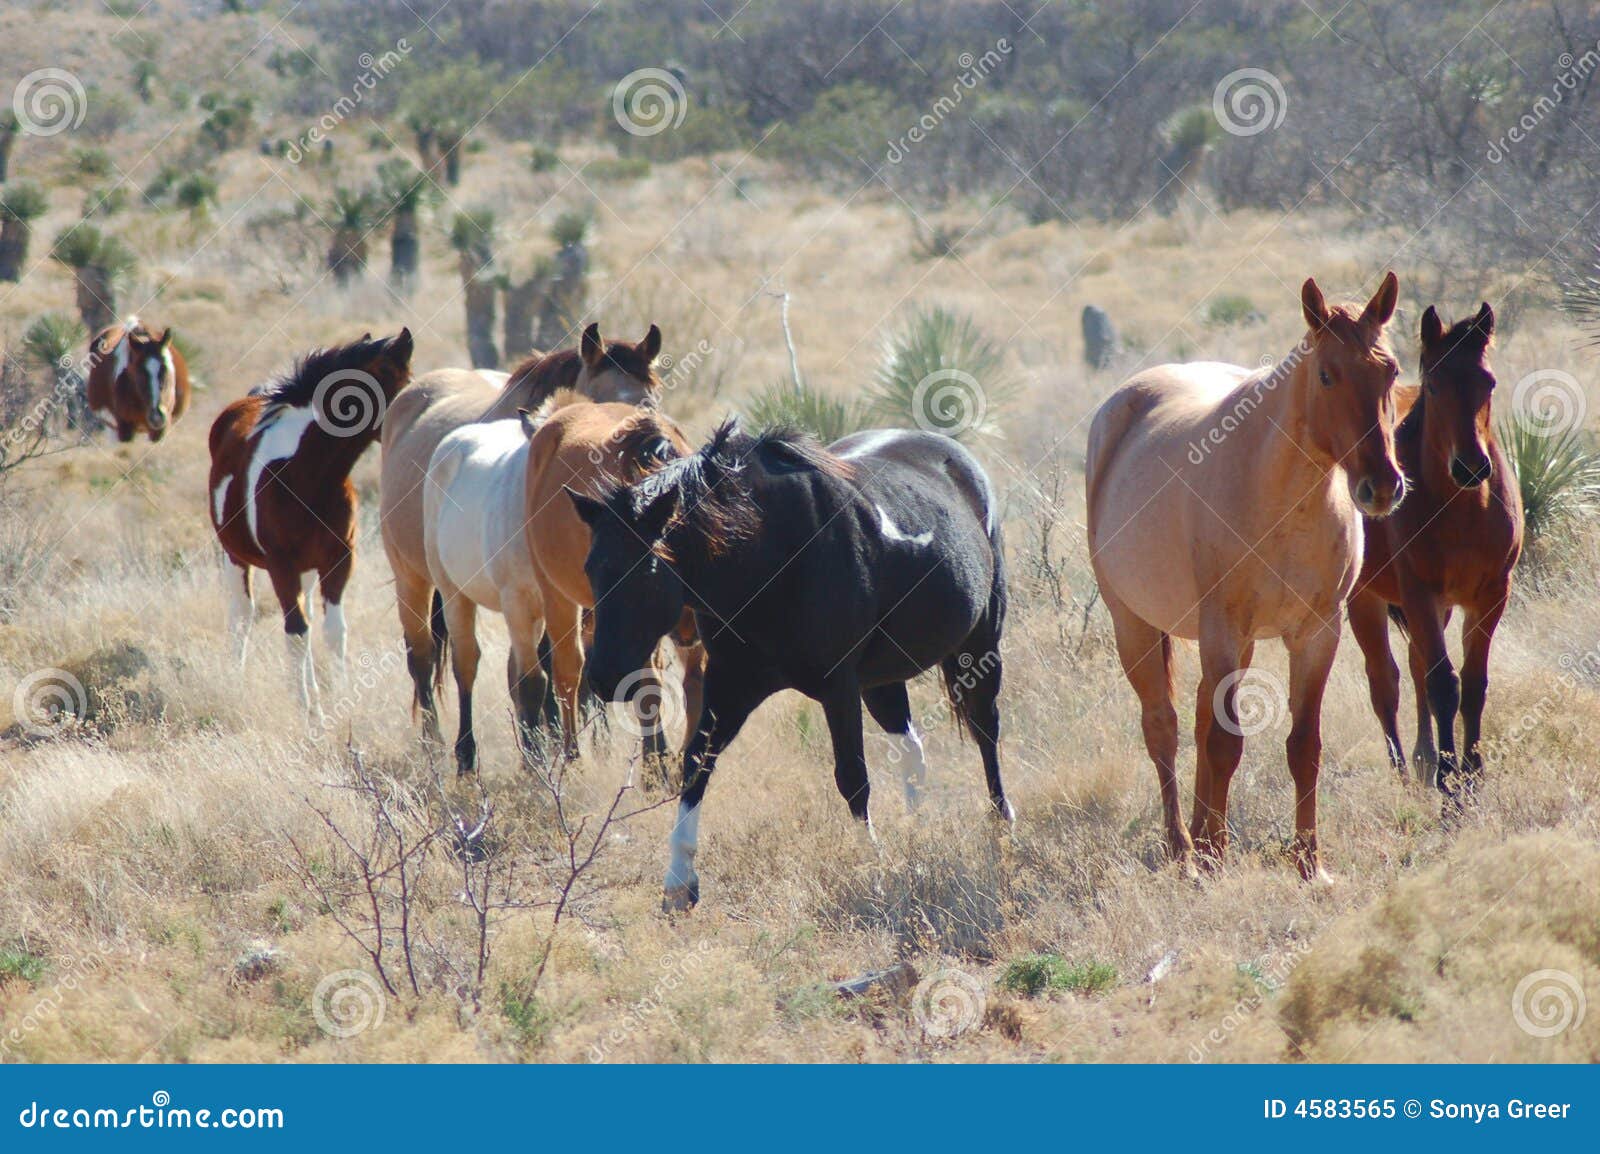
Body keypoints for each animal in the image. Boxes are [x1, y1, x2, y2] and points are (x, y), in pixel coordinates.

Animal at [208, 330, 414, 716]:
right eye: (389, 378)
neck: (308, 476)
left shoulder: (340, 558)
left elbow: (333, 630)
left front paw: (338, 696)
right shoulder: (281, 565)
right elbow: (296, 631)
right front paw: (308, 710)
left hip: (304, 568)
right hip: (236, 556)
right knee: (242, 615)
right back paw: (236, 679)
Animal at [570, 422, 1013, 912]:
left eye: (647, 570)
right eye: (591, 568)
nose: (604, 676)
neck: (769, 555)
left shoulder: (837, 687)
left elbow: (852, 777)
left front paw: (874, 868)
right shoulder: (731, 686)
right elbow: (696, 763)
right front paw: (679, 883)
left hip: (980, 647)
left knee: (985, 731)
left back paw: (1001, 827)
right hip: (881, 681)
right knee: (913, 750)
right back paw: (917, 833)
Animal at [1086, 272, 1404, 882]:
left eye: (1392, 370)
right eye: (1326, 373)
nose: (1382, 486)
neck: (1280, 497)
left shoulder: (1317, 633)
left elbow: (1303, 746)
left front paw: (1309, 864)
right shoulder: (1222, 630)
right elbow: (1224, 746)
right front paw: (1216, 859)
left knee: (1198, 720)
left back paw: (1202, 837)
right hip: (1133, 625)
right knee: (1163, 727)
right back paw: (1184, 848)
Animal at [1348, 302, 1523, 800]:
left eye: (1489, 382)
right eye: (1435, 384)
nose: (1471, 466)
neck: (1463, 510)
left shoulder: (1490, 595)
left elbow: (1473, 682)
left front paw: (1472, 772)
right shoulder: (1419, 593)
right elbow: (1443, 683)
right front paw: (1450, 784)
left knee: (1415, 666)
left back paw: (1425, 759)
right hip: (1365, 600)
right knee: (1385, 682)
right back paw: (1406, 774)